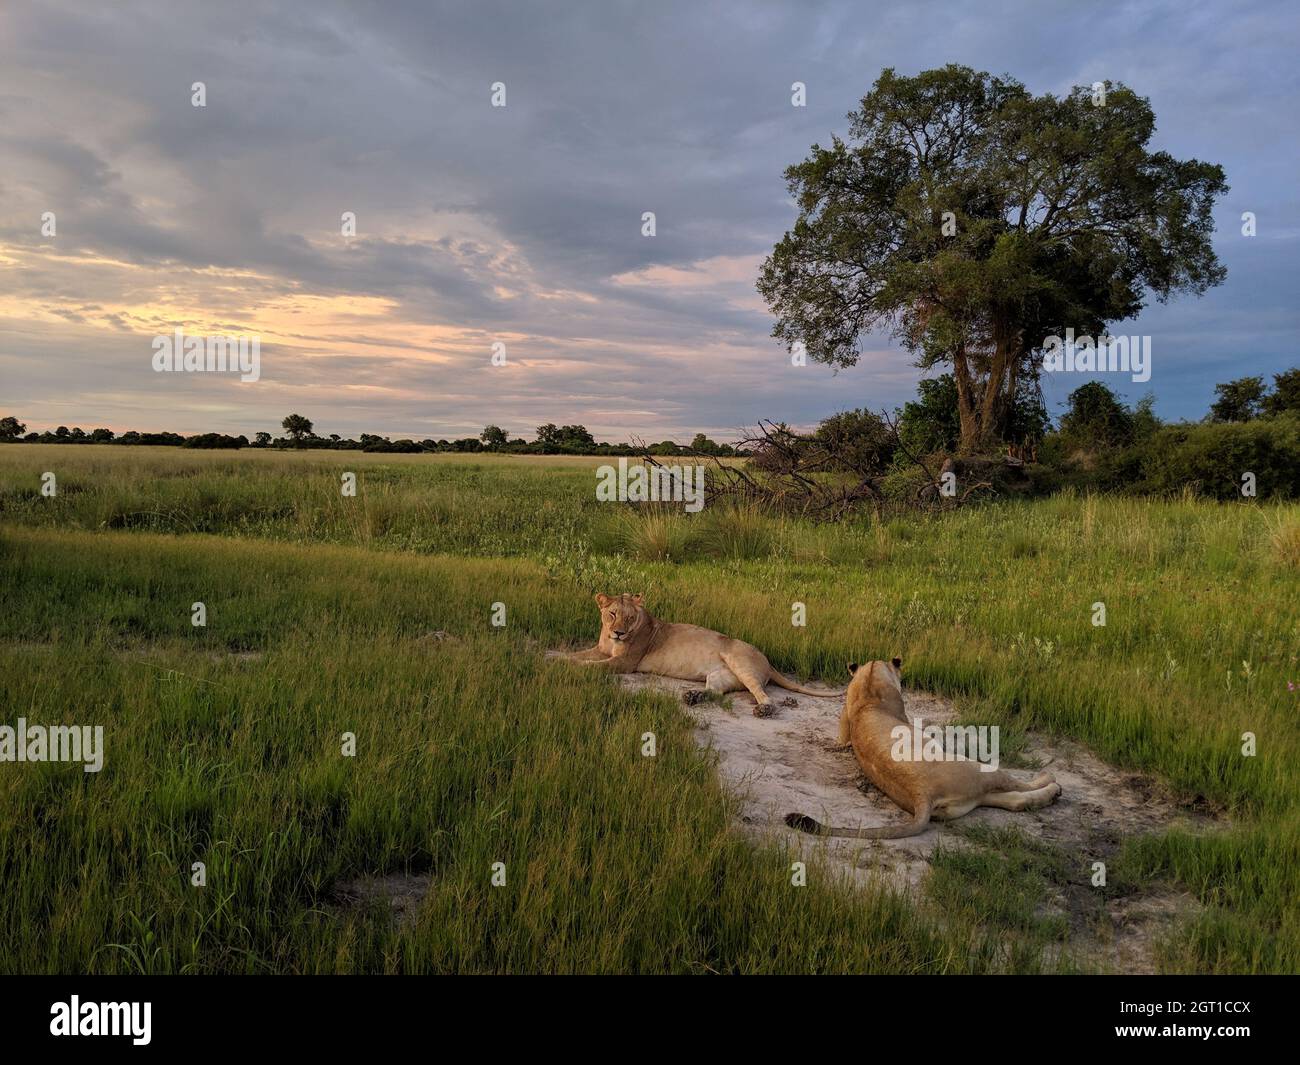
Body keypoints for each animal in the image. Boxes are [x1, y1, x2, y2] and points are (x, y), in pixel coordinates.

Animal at [559, 593, 844, 715]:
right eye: (612, 614)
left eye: (629, 618)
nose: (618, 633)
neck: (609, 638)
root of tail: (769, 662)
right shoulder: (600, 649)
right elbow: (577, 654)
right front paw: (560, 660)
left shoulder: (625, 662)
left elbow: (595, 666)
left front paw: (574, 668)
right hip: (720, 675)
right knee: (716, 692)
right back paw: (693, 696)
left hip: (738, 661)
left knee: (763, 694)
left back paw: (764, 709)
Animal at [785, 658, 1060, 838]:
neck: (868, 686)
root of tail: (921, 794)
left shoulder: (844, 722)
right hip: (976, 769)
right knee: (1018, 787)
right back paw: (1051, 781)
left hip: (973, 795)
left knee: (1016, 801)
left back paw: (1053, 793)